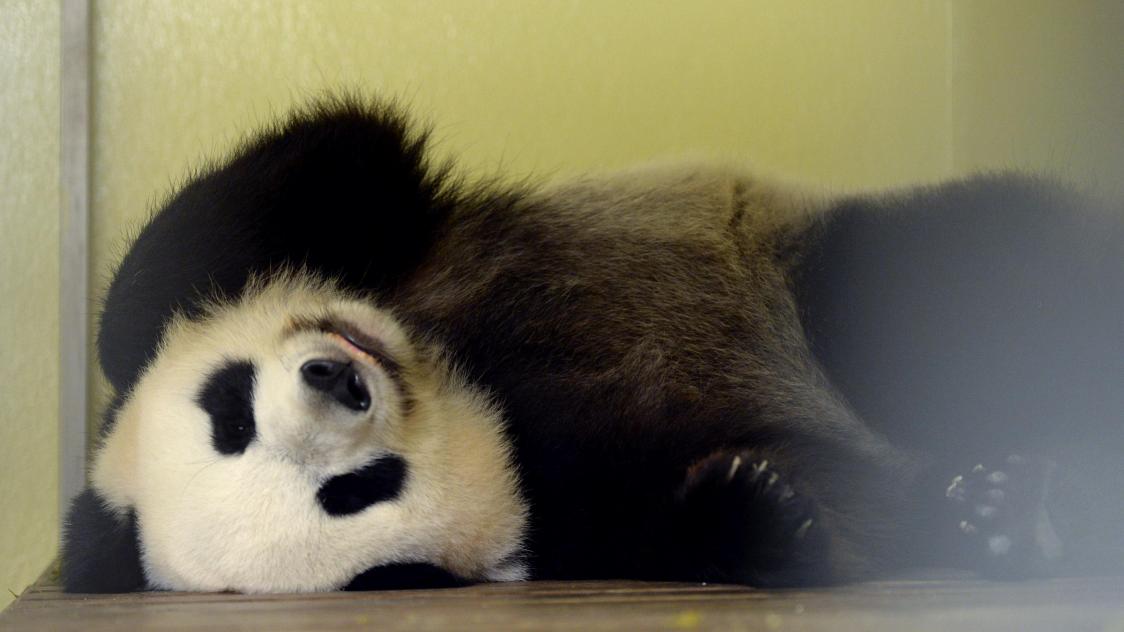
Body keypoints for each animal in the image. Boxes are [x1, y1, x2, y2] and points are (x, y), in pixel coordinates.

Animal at [64, 96, 1124, 592]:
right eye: (355, 494)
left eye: (229, 409)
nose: (338, 377)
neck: (488, 389)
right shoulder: (577, 509)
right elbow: (804, 507)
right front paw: (753, 512)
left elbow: (148, 294)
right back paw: (1023, 509)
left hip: (827, 265)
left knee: (967, 280)